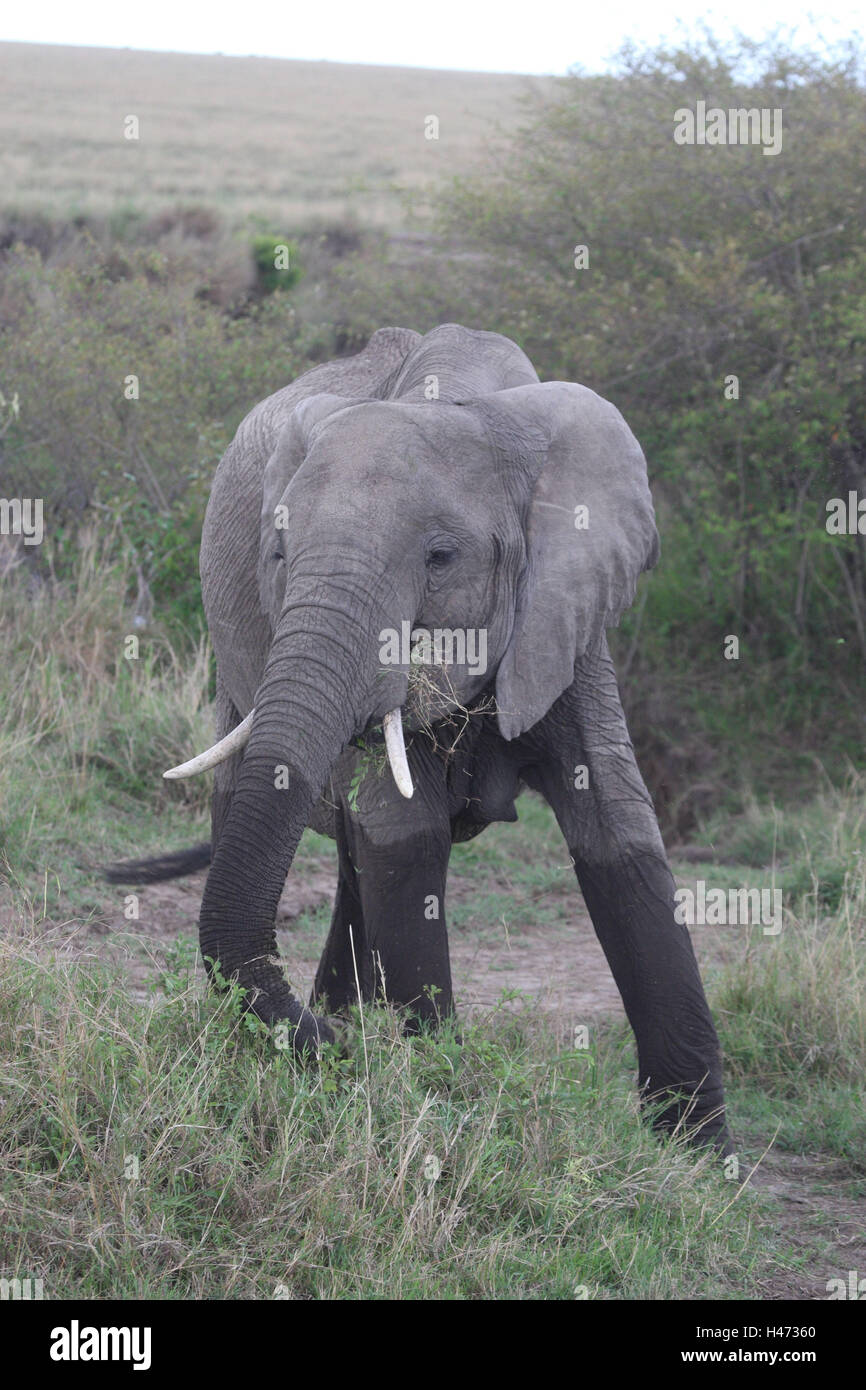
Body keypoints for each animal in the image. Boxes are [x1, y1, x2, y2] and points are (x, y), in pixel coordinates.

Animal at [109, 322, 730, 1153]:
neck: (464, 398)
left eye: (440, 558)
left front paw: (702, 1161)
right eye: (277, 554)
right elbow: (407, 845)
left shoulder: (566, 612)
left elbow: (619, 833)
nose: (336, 1049)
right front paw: (441, 1086)